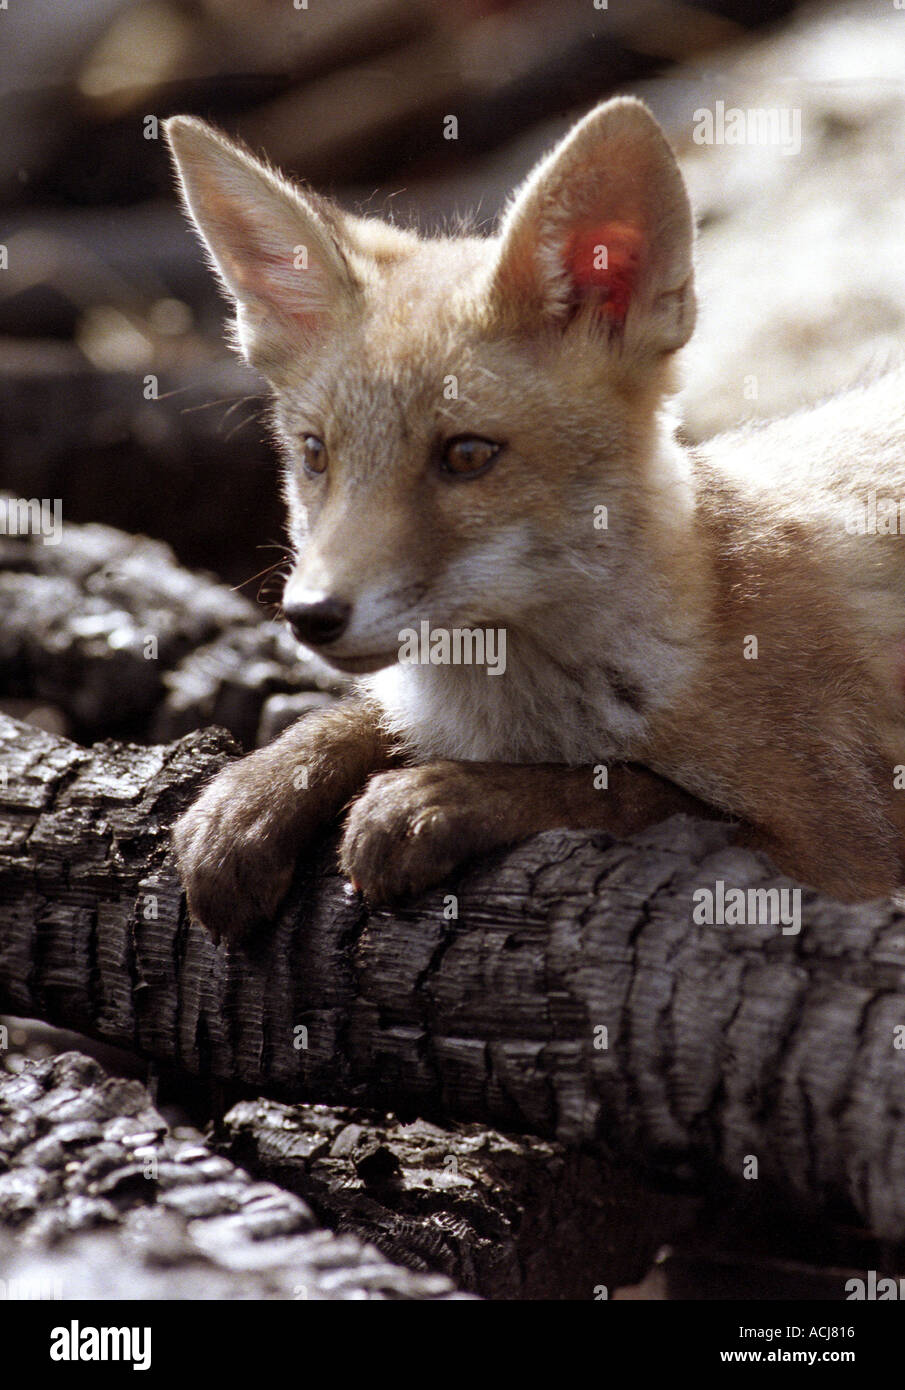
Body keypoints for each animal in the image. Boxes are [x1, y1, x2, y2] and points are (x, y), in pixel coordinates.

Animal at [164, 97, 905, 945]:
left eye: (466, 455)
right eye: (315, 453)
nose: (309, 615)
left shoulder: (842, 851)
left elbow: (627, 790)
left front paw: (447, 795)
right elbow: (360, 718)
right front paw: (258, 789)